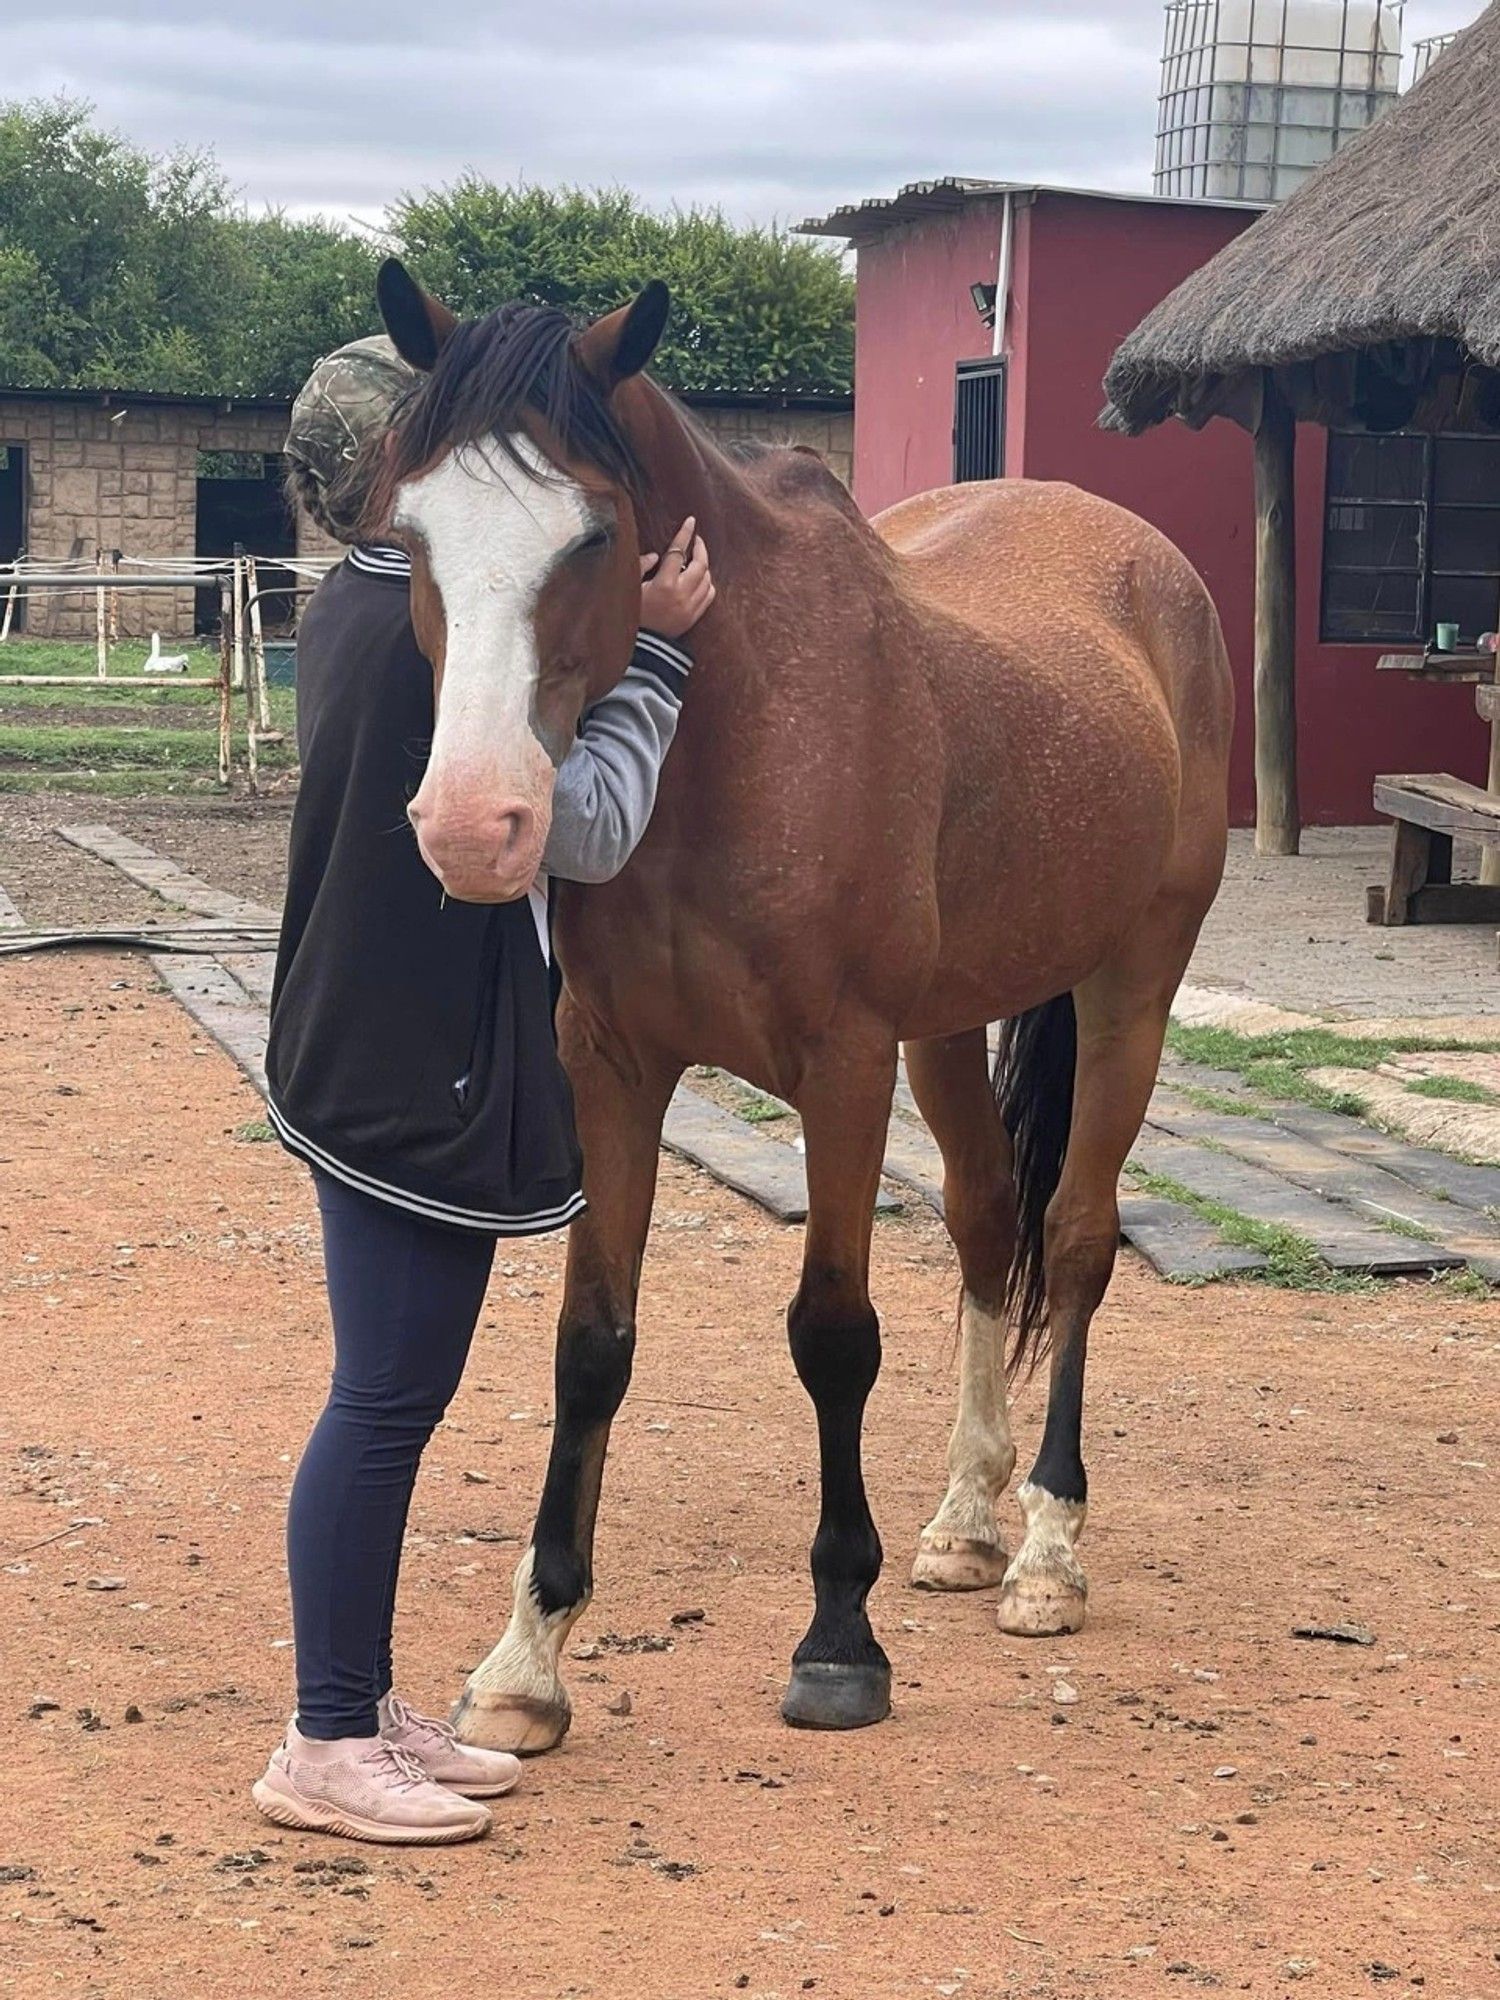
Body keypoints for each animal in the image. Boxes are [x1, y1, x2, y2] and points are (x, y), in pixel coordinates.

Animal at [369, 257, 1233, 1747]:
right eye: (413, 528)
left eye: (594, 534)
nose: (476, 824)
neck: (735, 733)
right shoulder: (611, 1062)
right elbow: (591, 1343)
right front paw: (528, 1659)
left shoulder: (843, 1066)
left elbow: (833, 1335)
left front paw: (840, 1639)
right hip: (950, 1026)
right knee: (987, 1221)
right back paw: (965, 1523)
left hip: (1134, 984)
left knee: (1073, 1240)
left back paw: (1048, 1551)